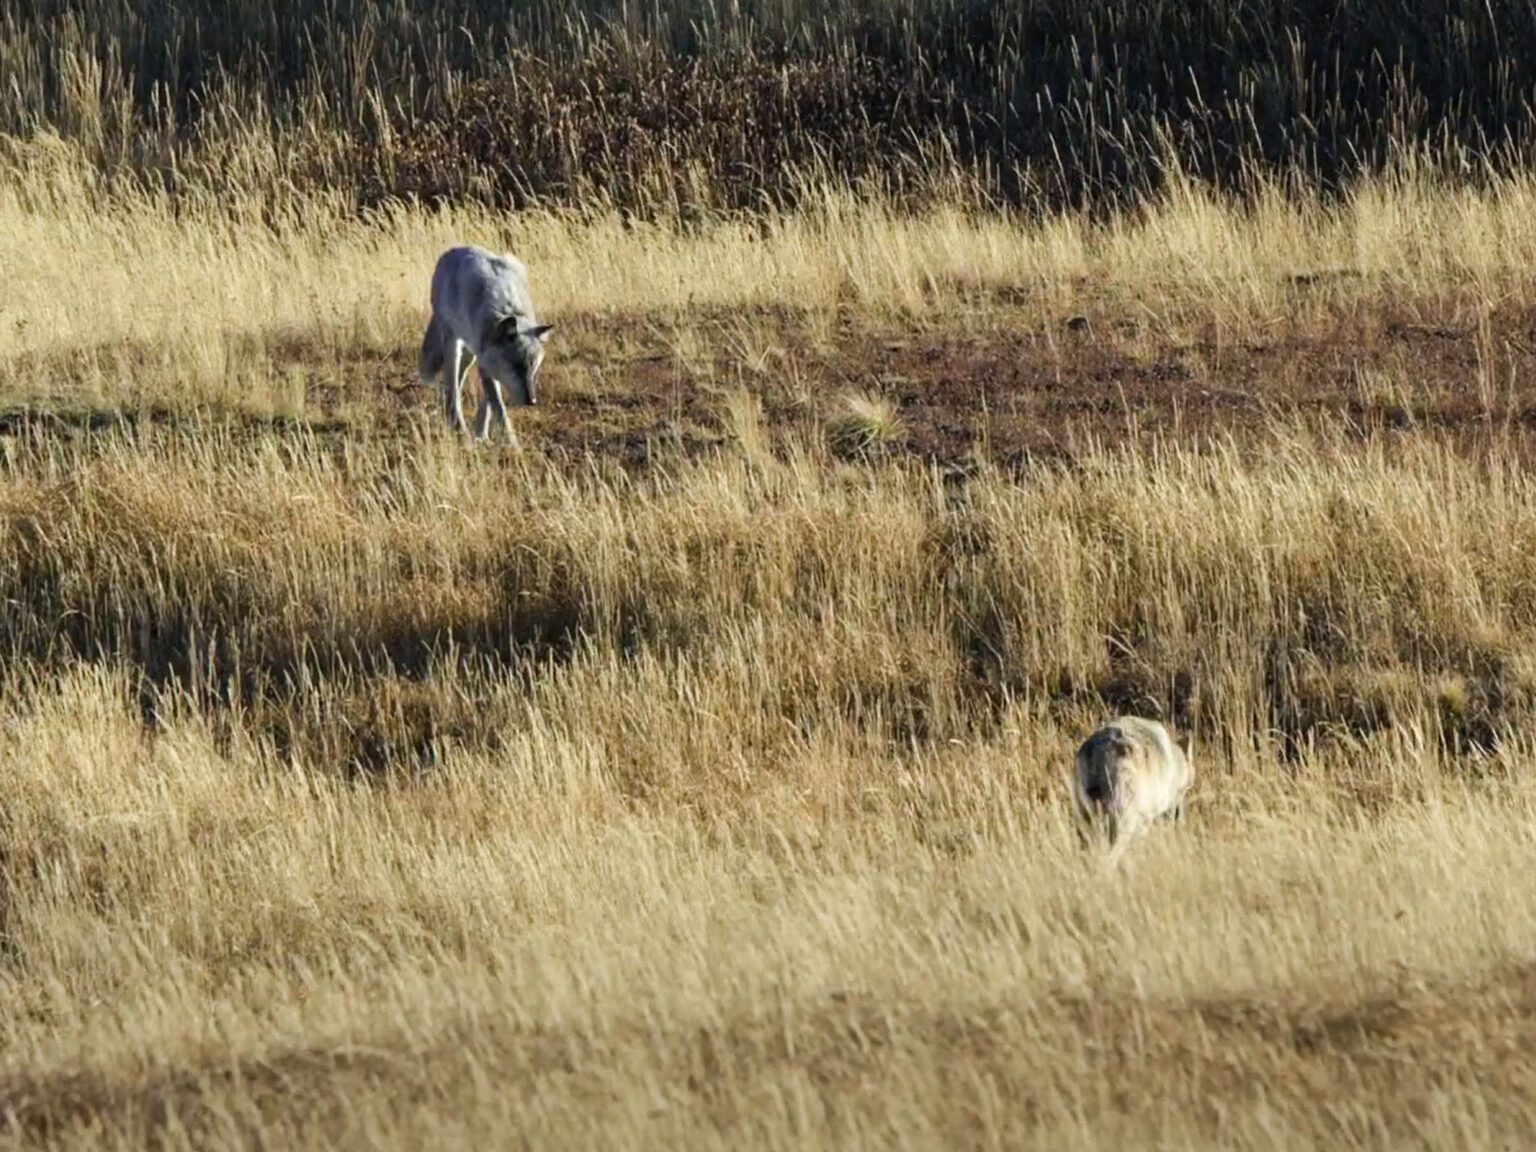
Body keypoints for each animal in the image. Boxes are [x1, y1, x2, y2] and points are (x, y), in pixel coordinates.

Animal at [419, 245, 553, 443]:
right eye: (516, 366)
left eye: (532, 367)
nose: (532, 401)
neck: (508, 310)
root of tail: (454, 249)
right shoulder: (486, 365)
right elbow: (499, 408)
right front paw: (513, 445)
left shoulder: (487, 364)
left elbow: (488, 405)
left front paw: (481, 435)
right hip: (454, 346)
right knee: (452, 388)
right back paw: (458, 426)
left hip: (469, 357)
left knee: (451, 386)